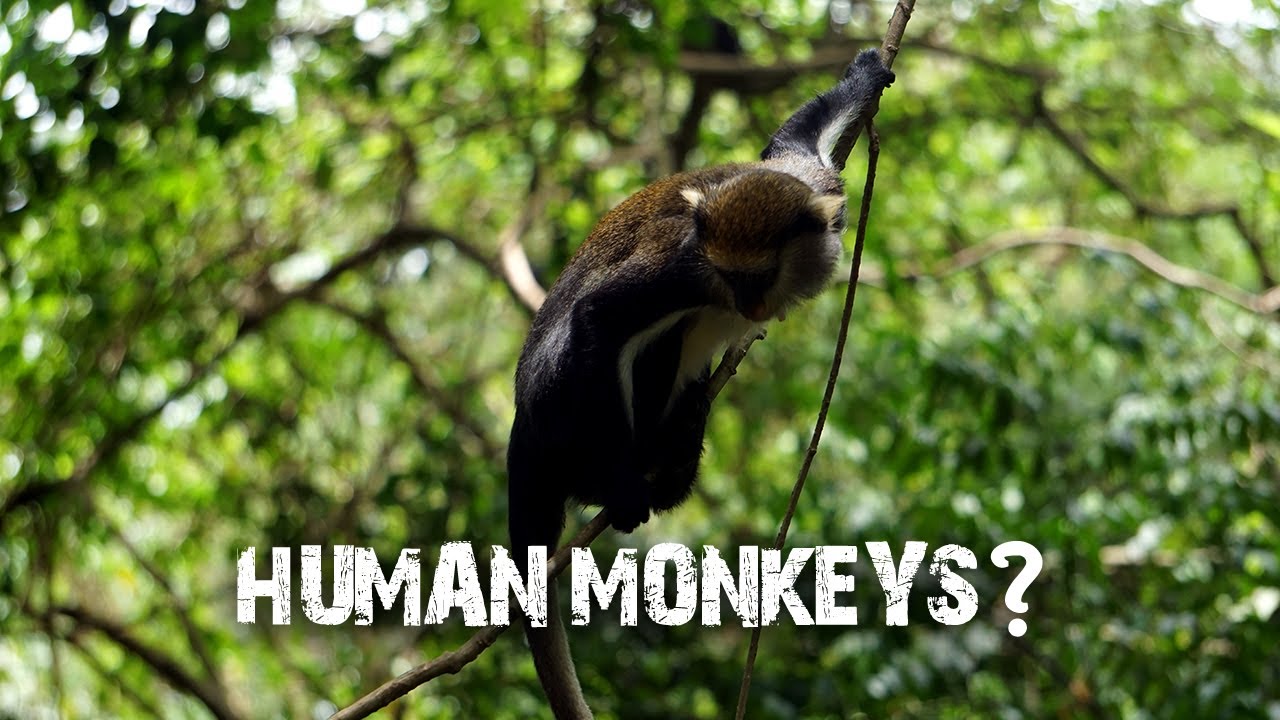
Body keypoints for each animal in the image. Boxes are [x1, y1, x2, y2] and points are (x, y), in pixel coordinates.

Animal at [507, 49, 894, 719]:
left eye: (759, 274)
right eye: (731, 276)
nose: (751, 305)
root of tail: (521, 430)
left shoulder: (816, 185)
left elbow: (788, 143)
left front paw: (868, 71)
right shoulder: (684, 268)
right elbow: (599, 316)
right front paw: (622, 487)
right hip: (560, 410)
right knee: (641, 346)